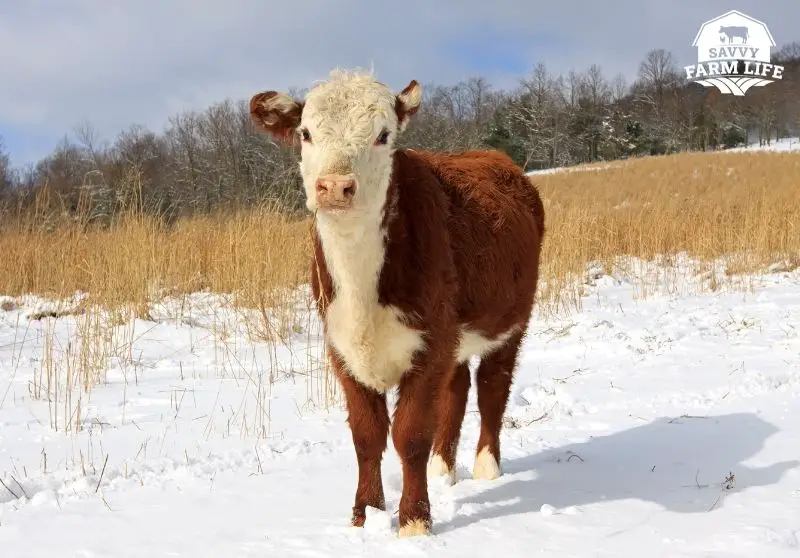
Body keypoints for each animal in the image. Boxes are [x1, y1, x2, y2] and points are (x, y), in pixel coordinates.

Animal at [249, 69, 545, 537]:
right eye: (306, 133)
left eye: (383, 135)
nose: (335, 186)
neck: (361, 293)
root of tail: (495, 157)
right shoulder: (342, 348)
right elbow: (367, 435)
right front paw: (365, 515)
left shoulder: (429, 344)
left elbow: (410, 434)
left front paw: (414, 521)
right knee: (457, 388)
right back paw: (444, 469)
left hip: (511, 320)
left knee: (492, 387)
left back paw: (486, 467)